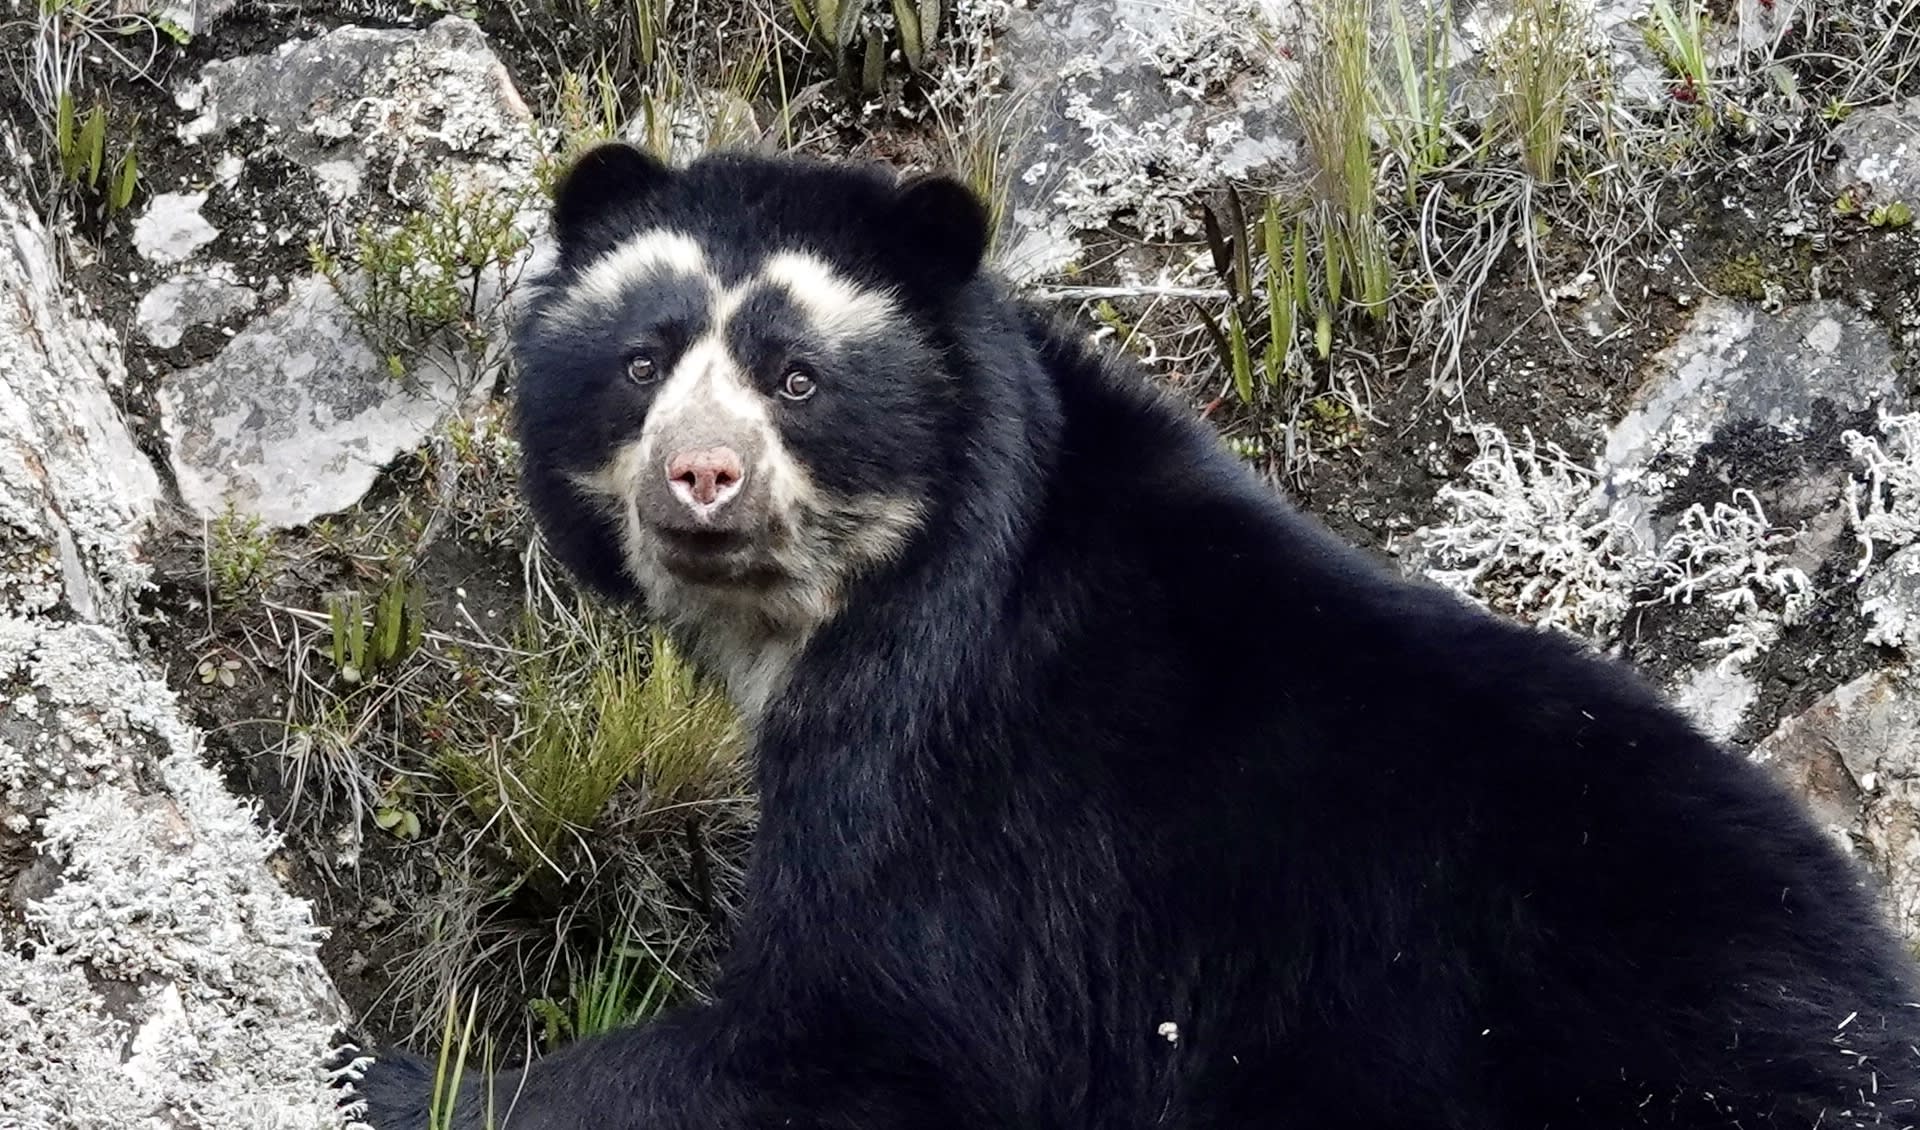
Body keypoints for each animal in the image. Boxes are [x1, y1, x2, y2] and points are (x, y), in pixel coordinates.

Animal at [348, 141, 1920, 1129]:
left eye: (795, 377)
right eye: (643, 360)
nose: (700, 479)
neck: (868, 601)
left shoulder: (969, 803)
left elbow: (857, 1036)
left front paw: (401, 1077)